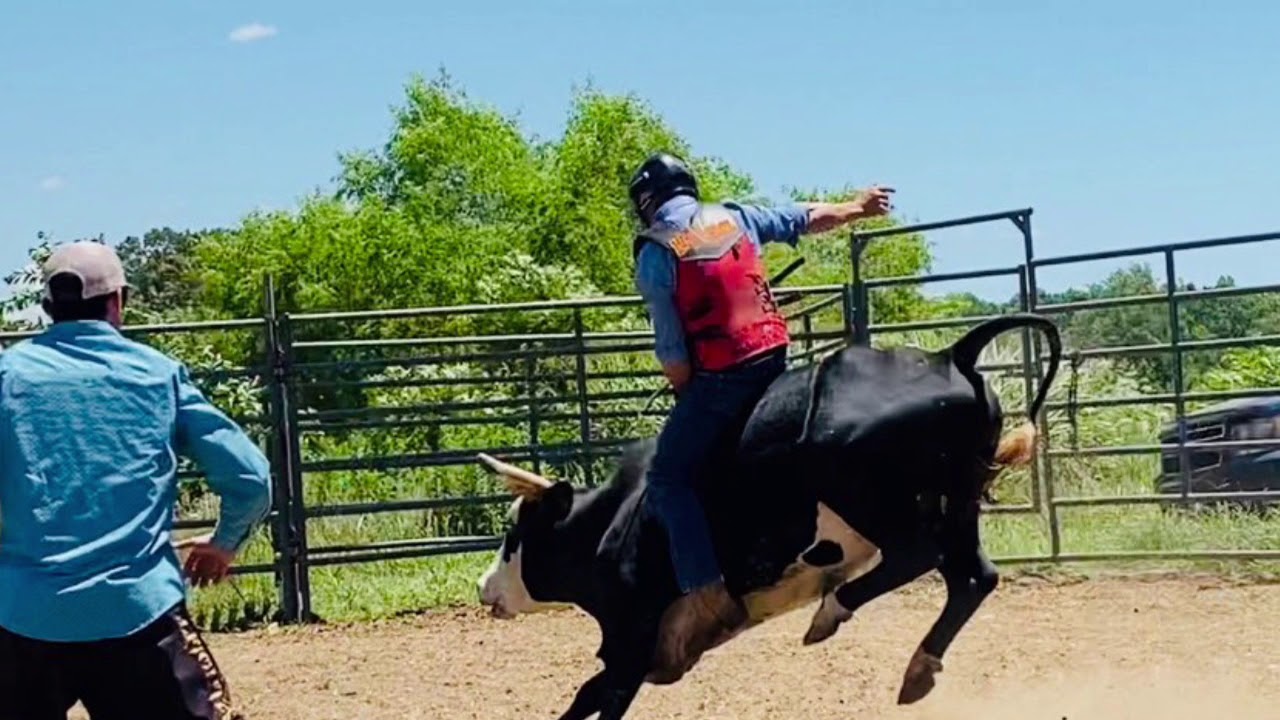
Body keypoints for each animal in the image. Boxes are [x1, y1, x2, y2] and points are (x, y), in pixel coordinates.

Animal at [475, 313, 1062, 720]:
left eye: (514, 534)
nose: (484, 586)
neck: (615, 524)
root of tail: (948, 356)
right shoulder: (636, 652)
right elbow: (586, 697)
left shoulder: (631, 643)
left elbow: (596, 700)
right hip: (959, 502)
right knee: (974, 578)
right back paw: (916, 670)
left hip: (872, 499)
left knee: (917, 556)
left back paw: (832, 611)